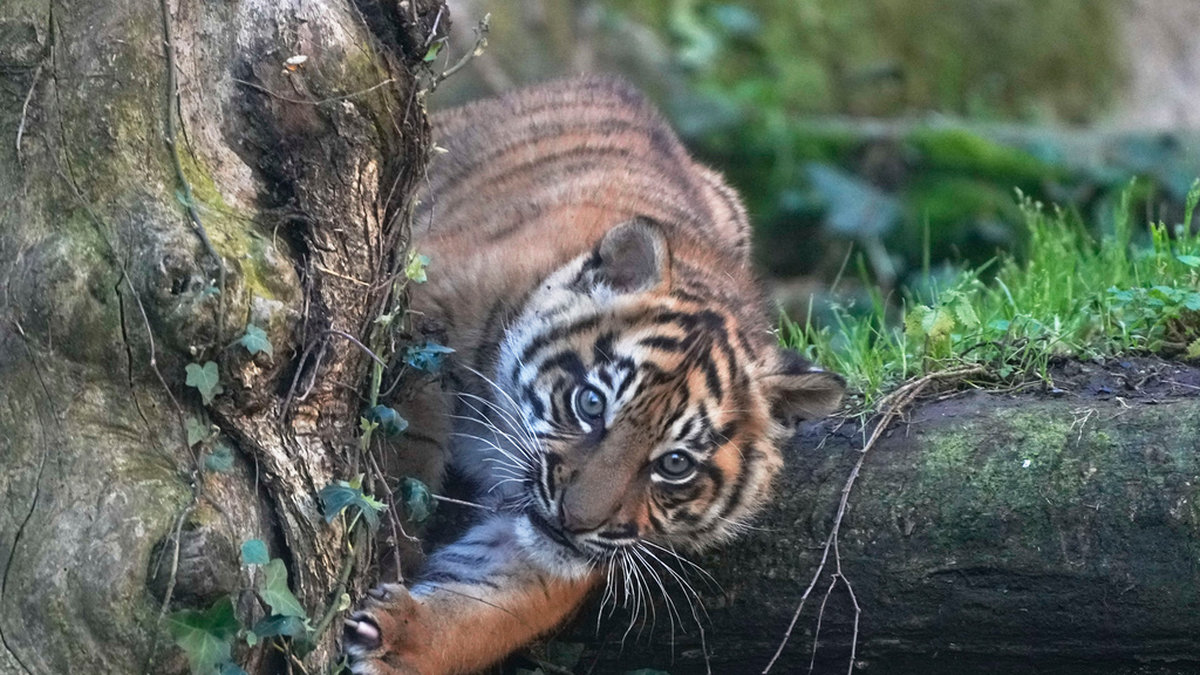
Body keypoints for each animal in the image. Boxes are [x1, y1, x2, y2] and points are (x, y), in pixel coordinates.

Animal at [342, 74, 844, 674]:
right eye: (590, 404)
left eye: (675, 464)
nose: (575, 522)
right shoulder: (422, 313)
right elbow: (404, 451)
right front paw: (389, 543)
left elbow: (493, 608)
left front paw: (397, 639)